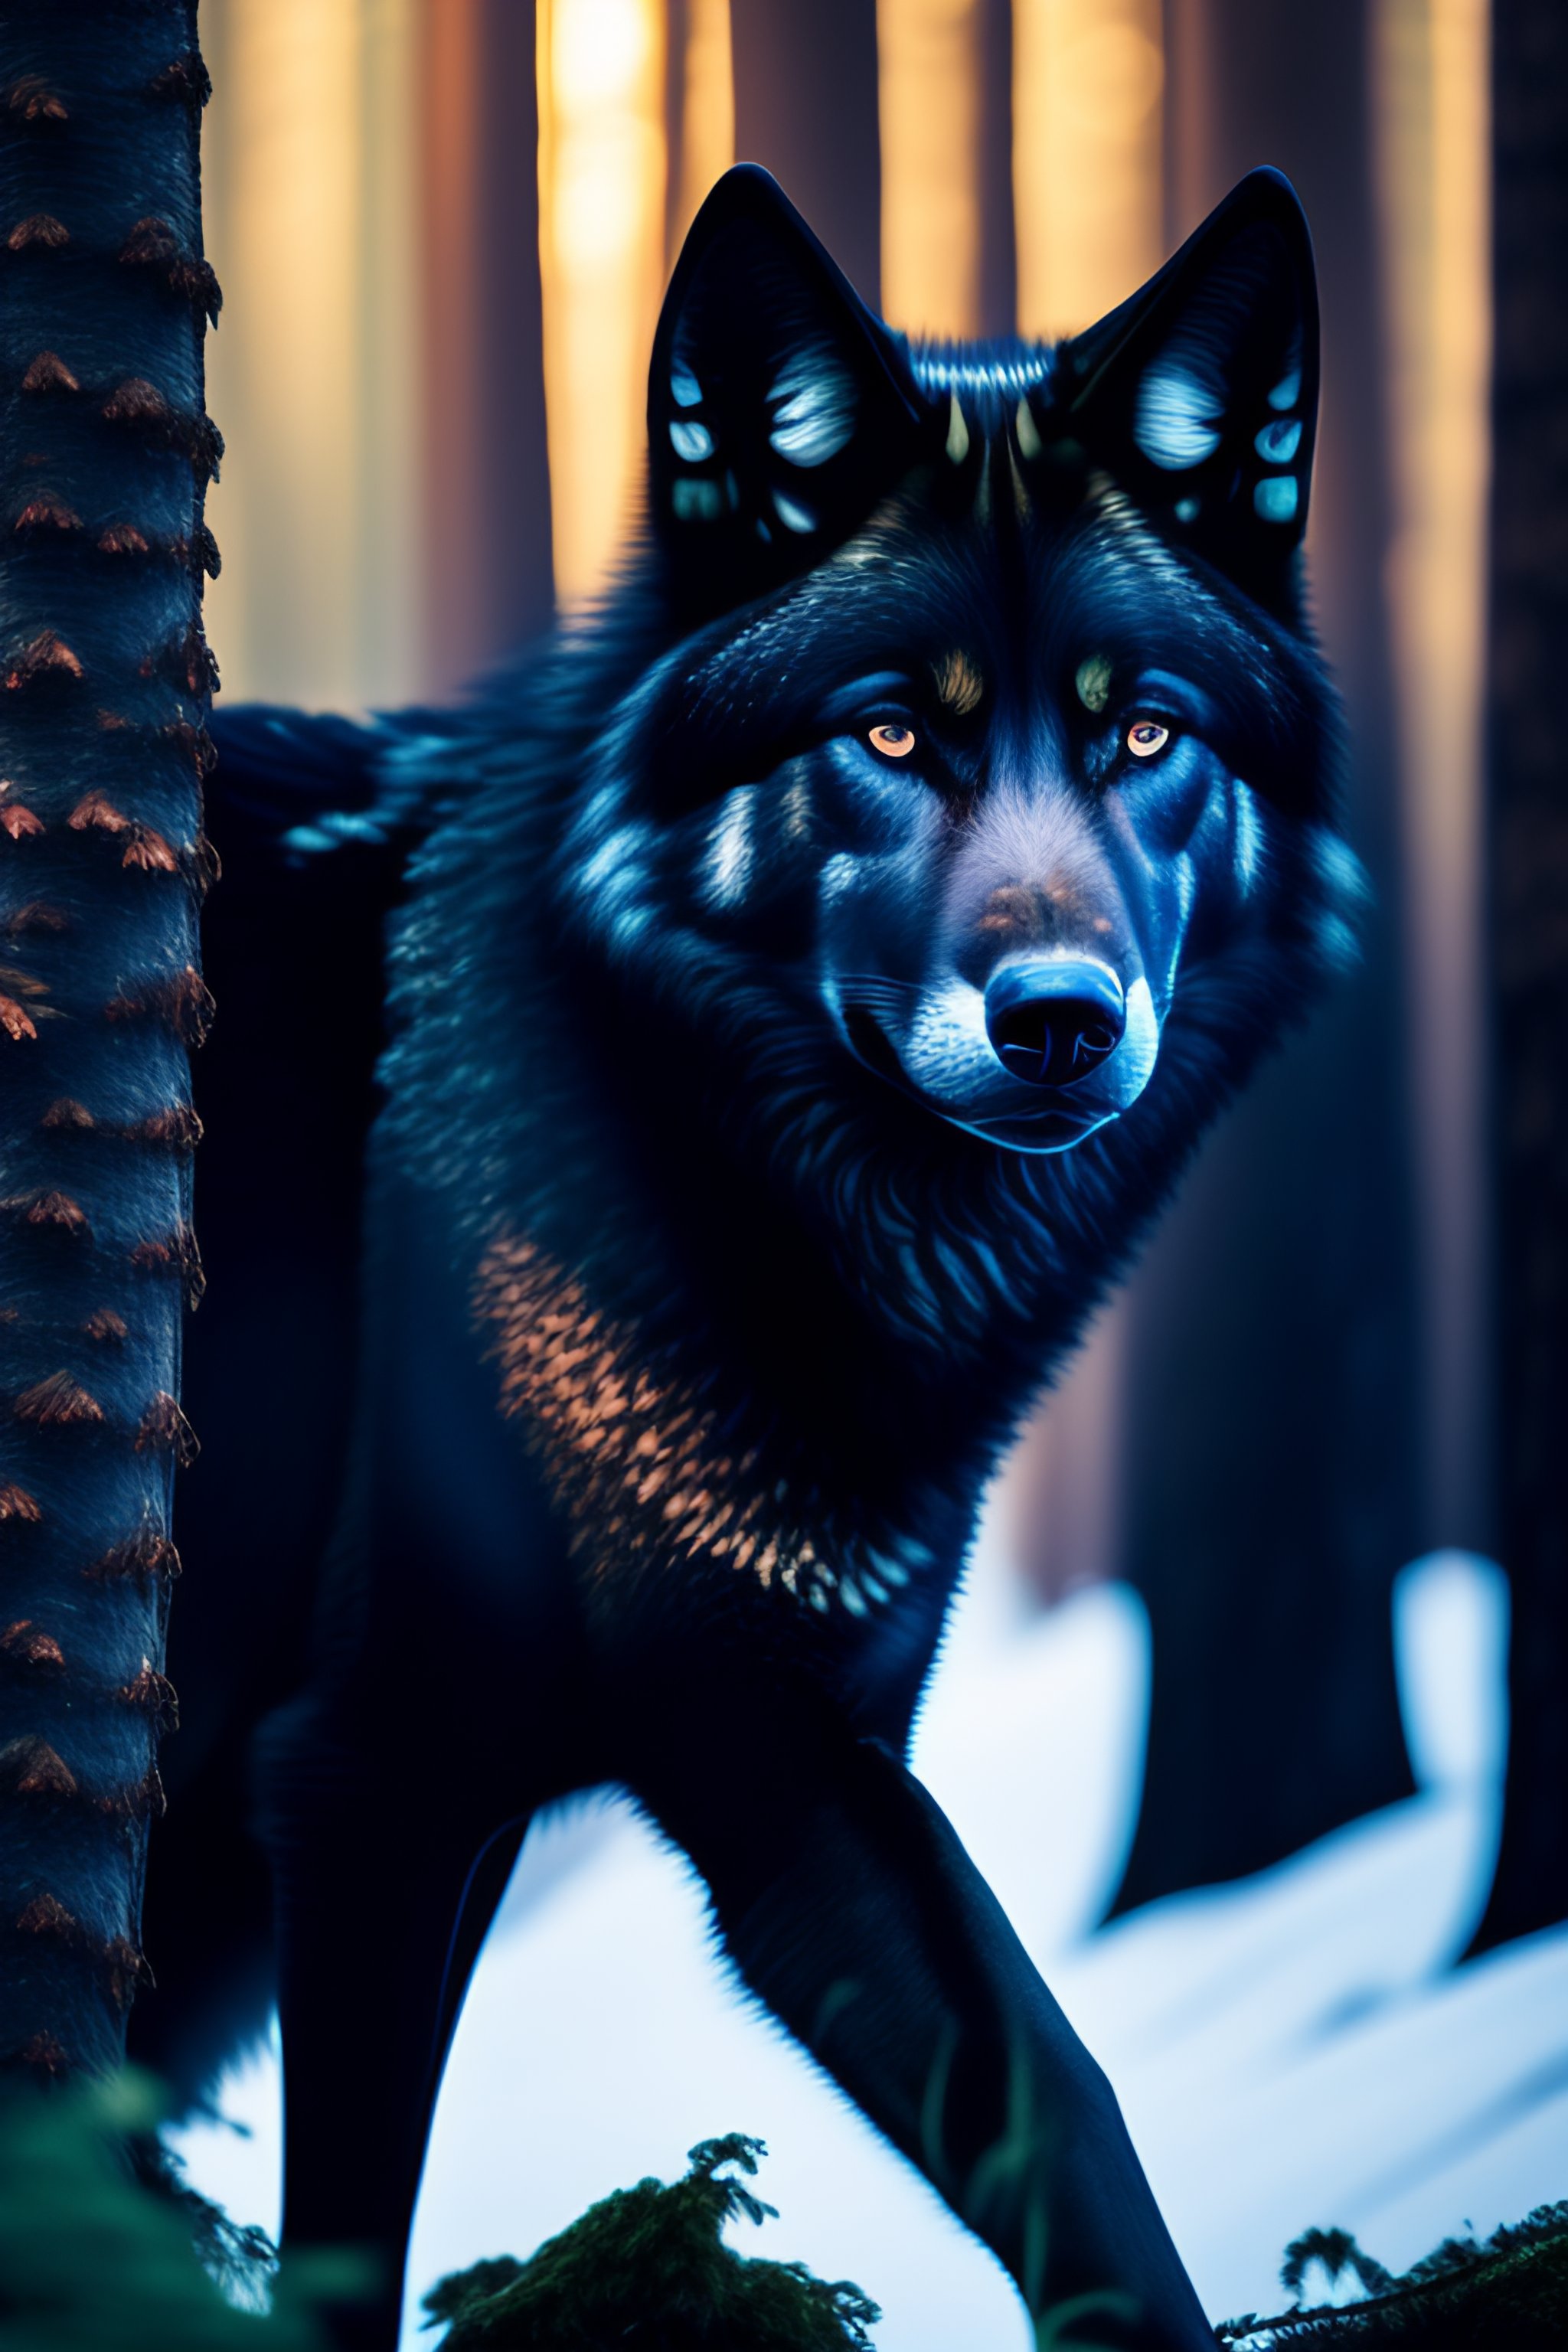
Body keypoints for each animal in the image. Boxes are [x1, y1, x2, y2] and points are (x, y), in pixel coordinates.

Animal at [144, 163, 1359, 2349]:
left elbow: (1062, 2103)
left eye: (1141, 733)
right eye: (887, 733)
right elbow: (349, 2249)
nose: (1062, 1020)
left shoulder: (788, 1763)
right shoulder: (369, 1782)